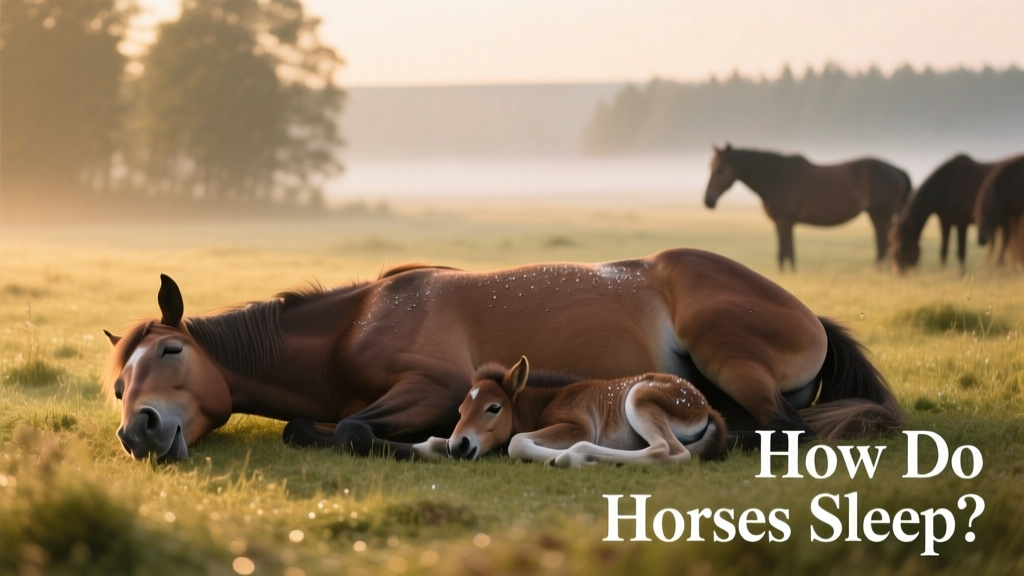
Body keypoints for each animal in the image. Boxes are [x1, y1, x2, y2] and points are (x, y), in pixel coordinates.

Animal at [412, 357, 728, 467]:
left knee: (667, 450)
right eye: (461, 409)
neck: (548, 400)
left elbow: (517, 442)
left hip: (638, 400)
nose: (459, 445)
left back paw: (576, 456)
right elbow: (431, 442)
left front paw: (561, 456)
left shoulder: (578, 426)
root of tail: (705, 405)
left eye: (494, 407)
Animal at [704, 145, 911, 271]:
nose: (708, 200)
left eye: (720, 169)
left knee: (883, 242)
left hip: (881, 214)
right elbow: (788, 251)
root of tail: (898, 170)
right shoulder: (784, 222)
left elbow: (784, 252)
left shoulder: (785, 220)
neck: (777, 177)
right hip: (875, 214)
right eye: (710, 167)